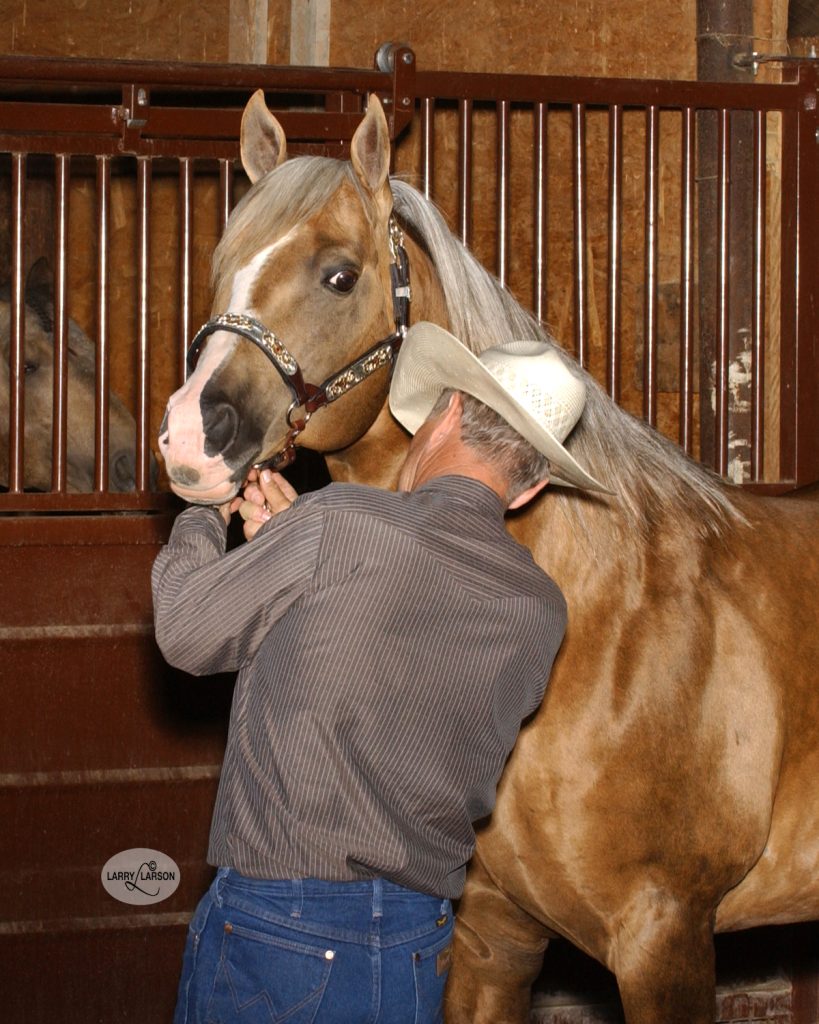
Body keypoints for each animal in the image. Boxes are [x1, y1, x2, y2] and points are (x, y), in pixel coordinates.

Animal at [158, 91, 819, 1023]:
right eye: (221, 262)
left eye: (338, 275)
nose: (190, 435)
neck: (605, 621)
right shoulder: (490, 936)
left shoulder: (666, 942)